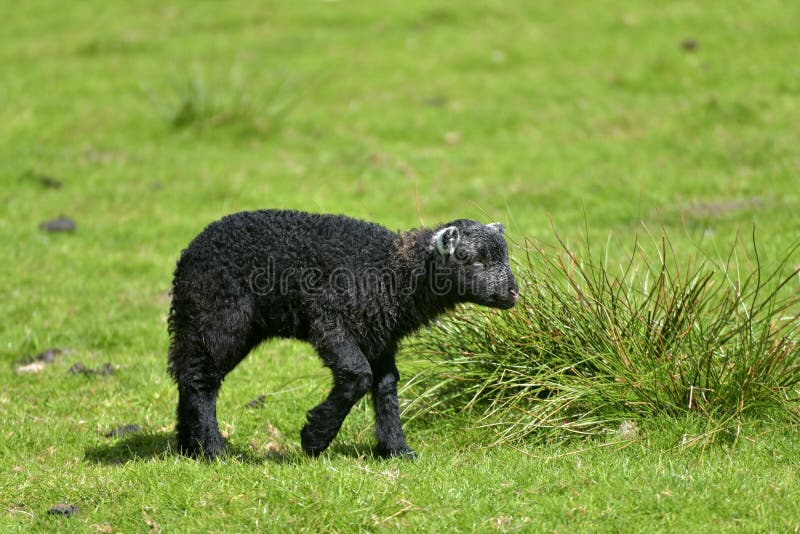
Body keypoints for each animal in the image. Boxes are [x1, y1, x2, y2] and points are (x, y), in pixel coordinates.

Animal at [167, 209, 519, 459]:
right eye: (476, 260)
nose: (514, 293)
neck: (394, 273)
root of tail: (188, 255)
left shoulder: (380, 339)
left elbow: (386, 387)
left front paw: (397, 450)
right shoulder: (330, 321)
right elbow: (357, 375)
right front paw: (314, 438)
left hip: (208, 324)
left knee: (187, 375)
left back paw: (189, 447)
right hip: (220, 319)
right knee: (201, 381)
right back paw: (214, 450)